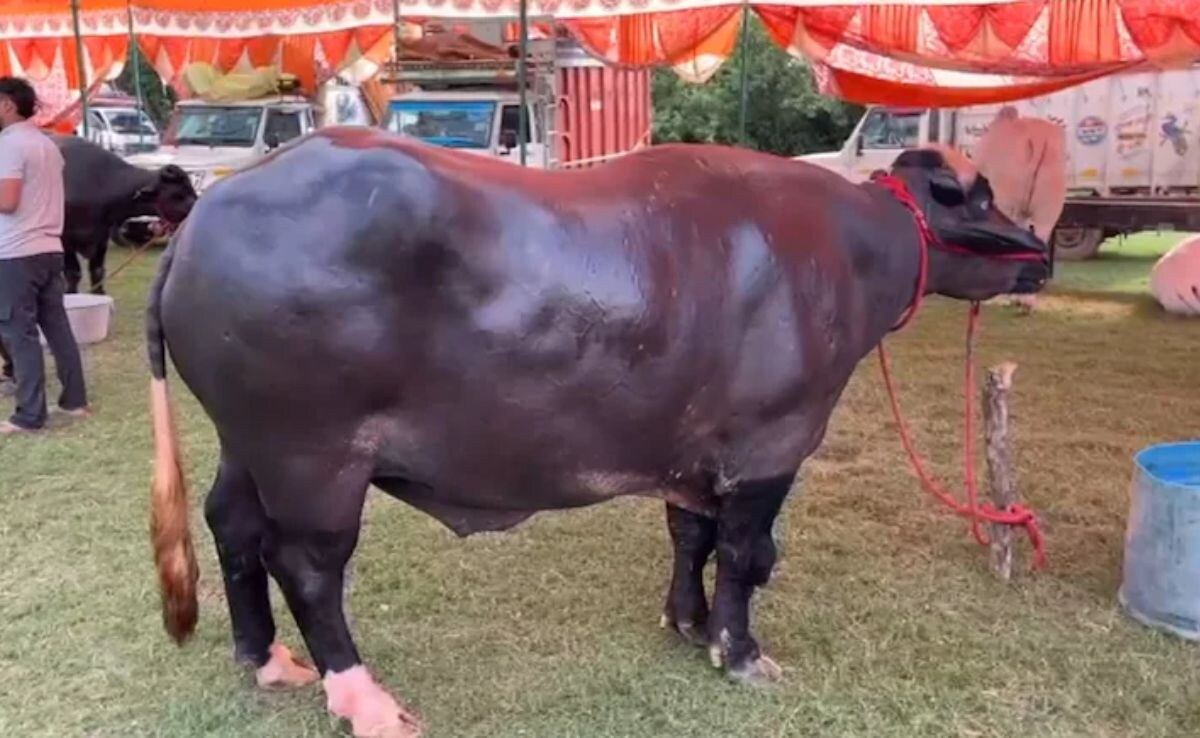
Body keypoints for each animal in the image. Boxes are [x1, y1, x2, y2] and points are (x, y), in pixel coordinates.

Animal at [56, 135, 196, 294]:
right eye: (178, 194)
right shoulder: (64, 239)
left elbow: (97, 271)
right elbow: (73, 273)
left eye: (190, 187)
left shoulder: (102, 237)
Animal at [145, 129, 1049, 738]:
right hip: (314, 457)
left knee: (232, 525)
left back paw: (265, 659)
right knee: (307, 564)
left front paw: (687, 622)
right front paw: (740, 651)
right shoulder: (771, 448)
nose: (1039, 255)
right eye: (978, 196)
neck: (845, 249)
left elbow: (692, 536)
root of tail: (202, 221)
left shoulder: (694, 456)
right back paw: (363, 698)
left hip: (246, 444)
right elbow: (747, 554)